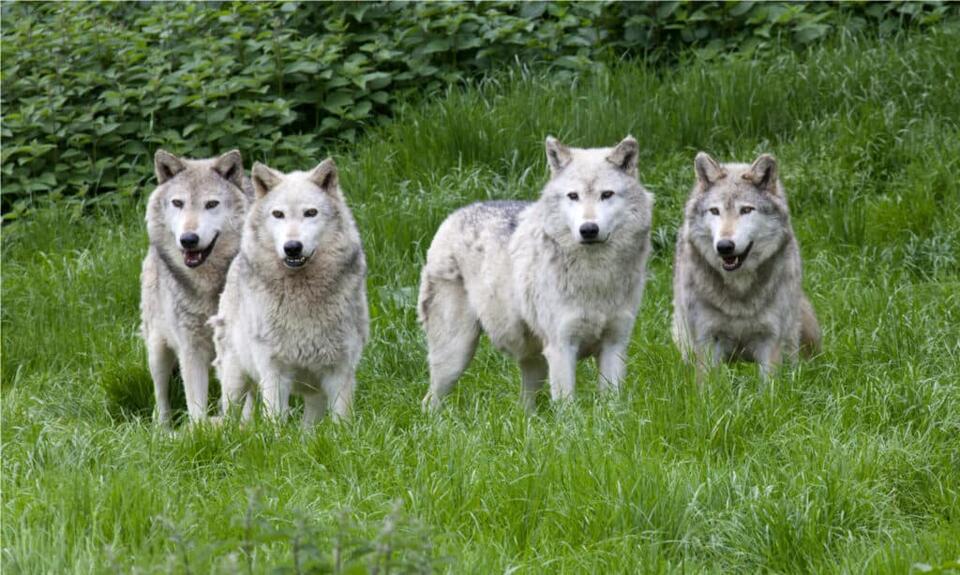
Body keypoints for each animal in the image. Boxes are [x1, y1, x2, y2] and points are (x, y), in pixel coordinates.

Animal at [140, 149, 249, 424]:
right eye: (178, 203)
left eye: (211, 204)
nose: (188, 239)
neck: (208, 287)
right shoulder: (190, 349)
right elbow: (195, 405)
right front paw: (201, 432)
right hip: (157, 349)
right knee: (160, 397)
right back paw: (163, 428)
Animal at [211, 158, 368, 425]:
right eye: (278, 214)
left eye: (311, 213)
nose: (292, 247)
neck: (301, 295)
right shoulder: (274, 371)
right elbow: (275, 421)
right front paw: (276, 437)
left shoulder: (340, 371)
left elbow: (342, 422)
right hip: (235, 380)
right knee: (230, 417)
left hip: (314, 394)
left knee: (309, 427)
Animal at [418, 136, 654, 411]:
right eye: (573, 196)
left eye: (606, 195)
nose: (588, 229)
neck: (596, 276)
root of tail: (454, 215)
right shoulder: (562, 348)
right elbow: (568, 408)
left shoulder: (614, 345)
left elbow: (612, 406)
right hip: (456, 354)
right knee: (429, 401)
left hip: (534, 362)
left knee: (524, 406)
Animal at [672, 152, 821, 380]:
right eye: (714, 211)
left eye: (746, 210)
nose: (724, 246)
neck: (739, 291)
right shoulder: (707, 339)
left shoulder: (771, 340)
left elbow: (770, 386)